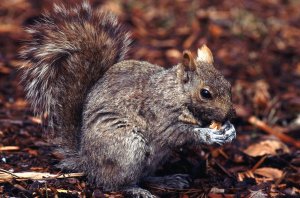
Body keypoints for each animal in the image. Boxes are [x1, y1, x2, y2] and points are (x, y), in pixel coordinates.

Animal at [20, 1, 237, 196]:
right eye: (205, 93)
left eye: (229, 86)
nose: (229, 115)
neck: (176, 92)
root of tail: (87, 161)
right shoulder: (161, 115)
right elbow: (178, 134)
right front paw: (209, 135)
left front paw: (229, 130)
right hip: (128, 148)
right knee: (114, 183)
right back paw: (136, 190)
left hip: (152, 158)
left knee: (144, 176)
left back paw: (168, 179)